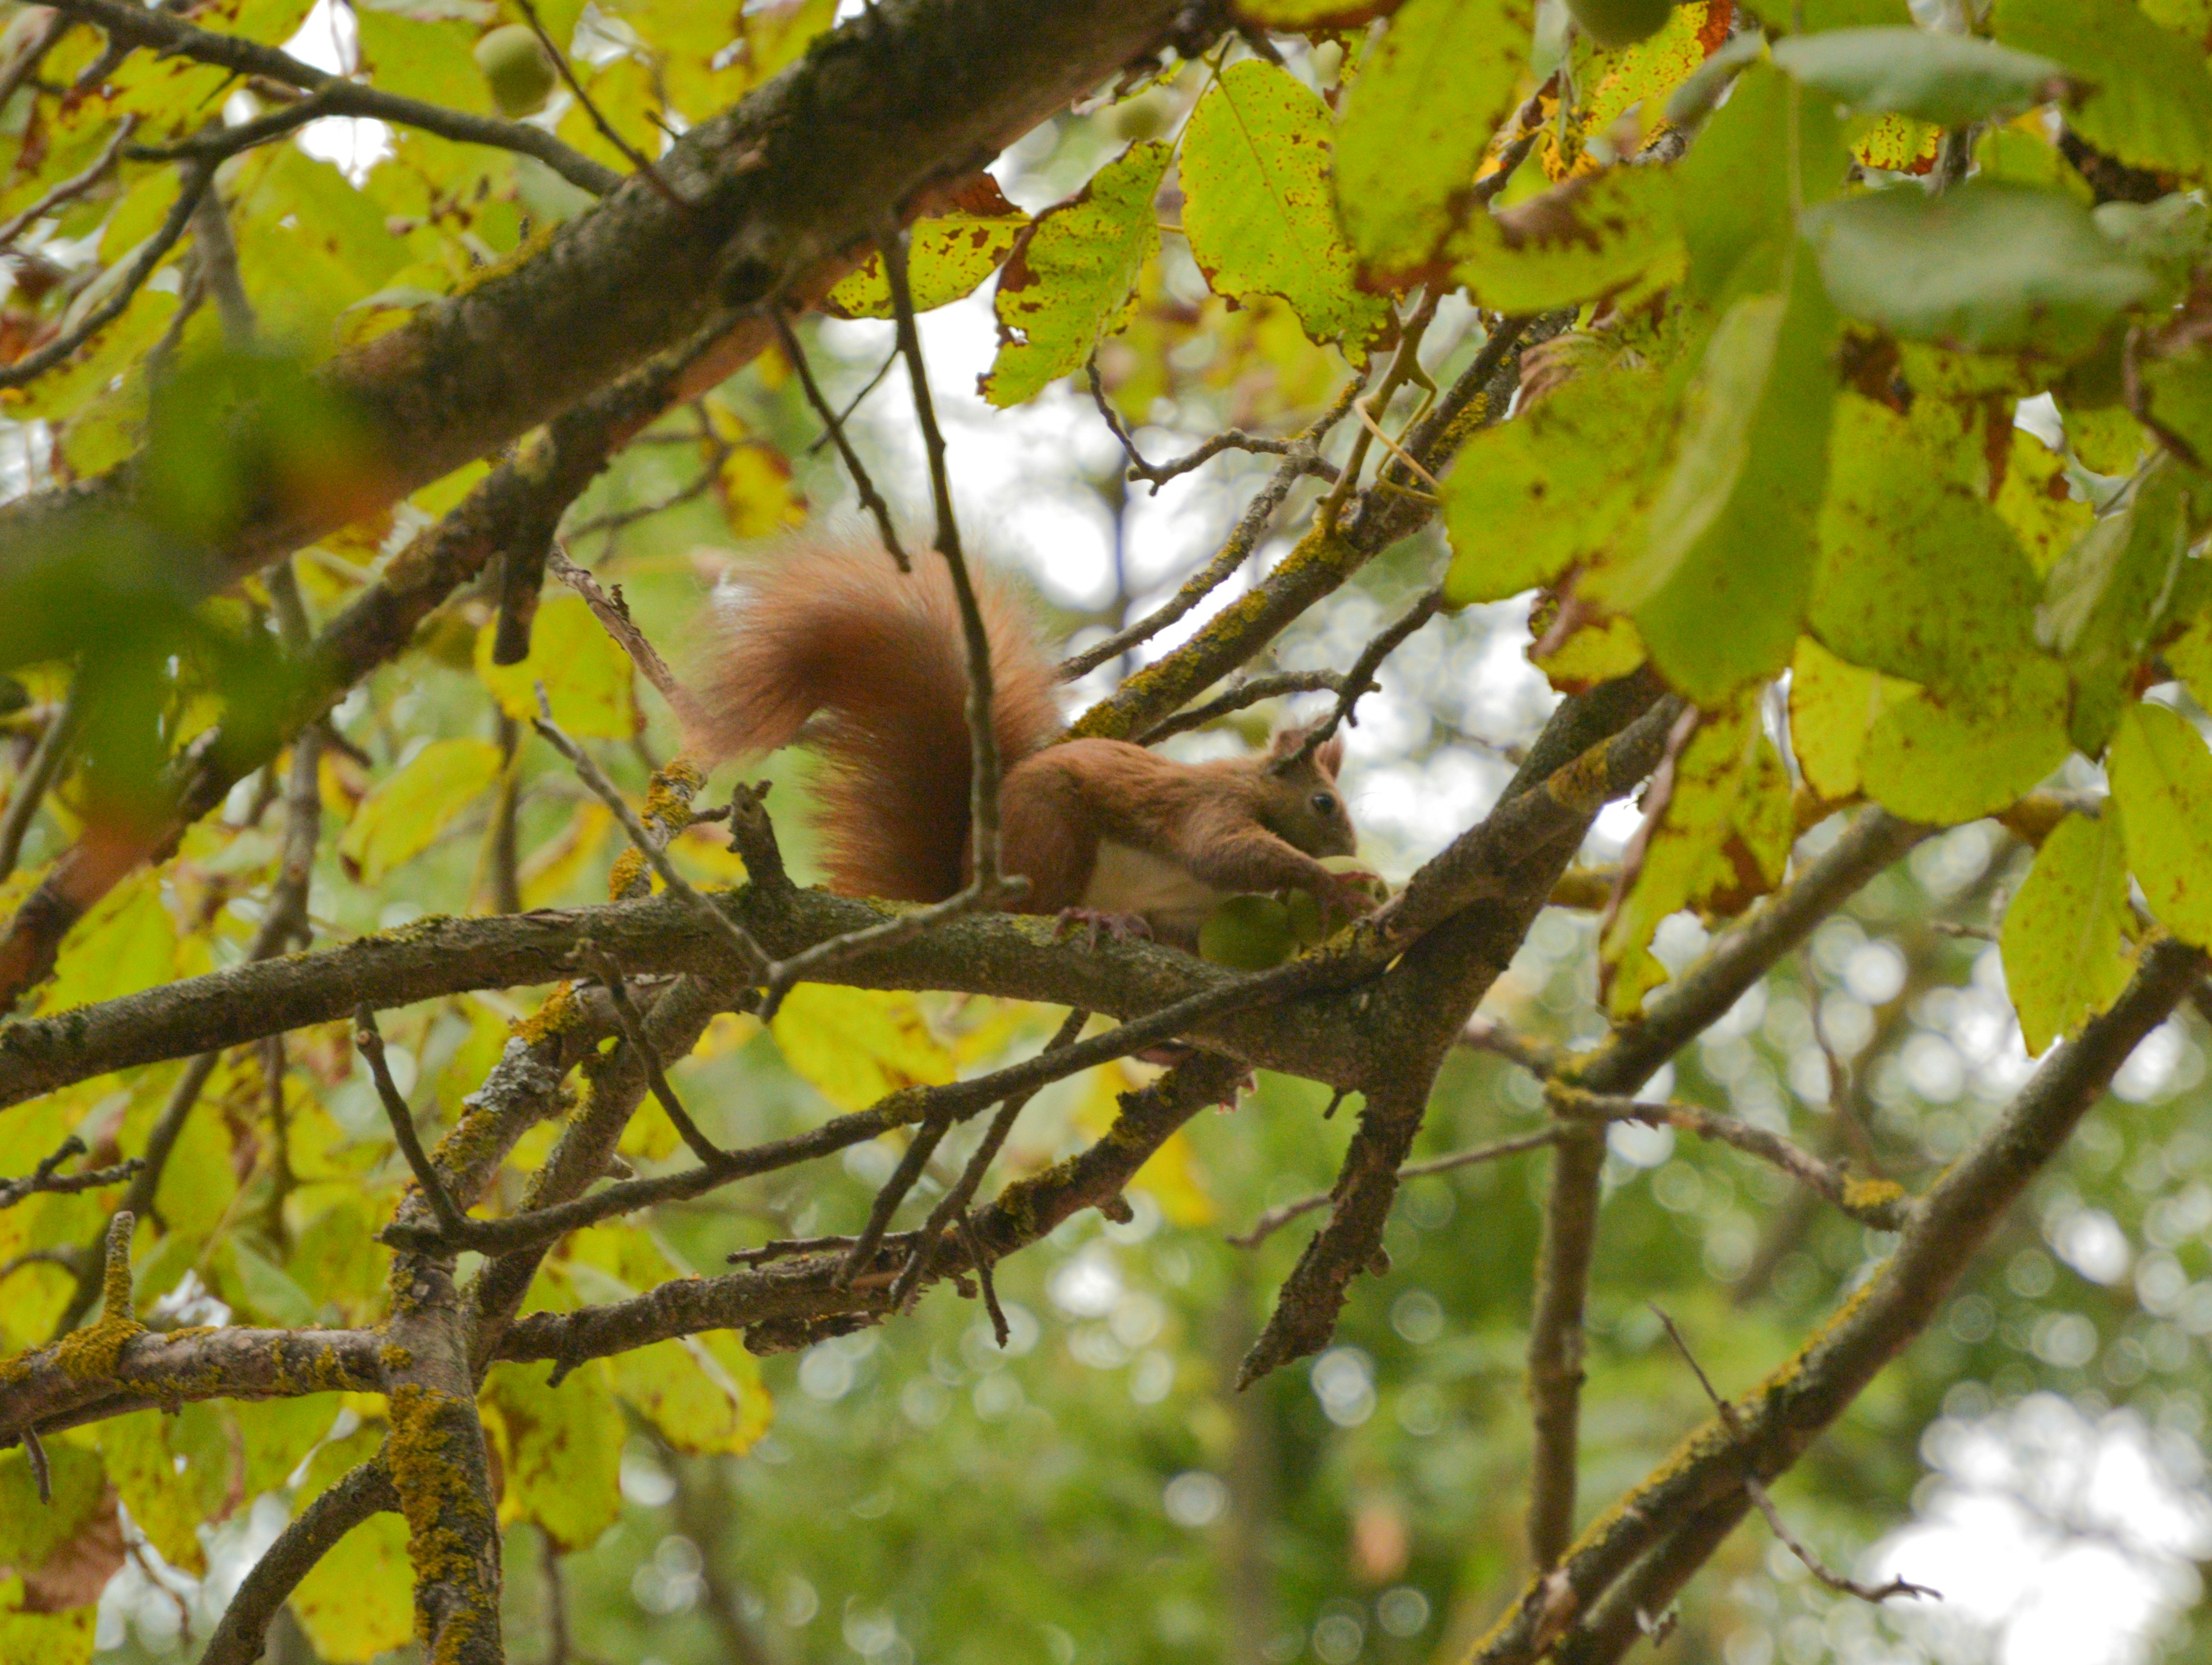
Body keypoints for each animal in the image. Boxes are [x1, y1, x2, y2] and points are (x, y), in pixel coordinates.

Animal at [687, 532, 1376, 946]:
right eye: (1323, 803)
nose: (1348, 848)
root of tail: (967, 887)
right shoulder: (1211, 805)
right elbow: (1224, 852)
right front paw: (1332, 882)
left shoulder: (1193, 915)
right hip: (1051, 836)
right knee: (1037, 910)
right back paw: (1089, 917)